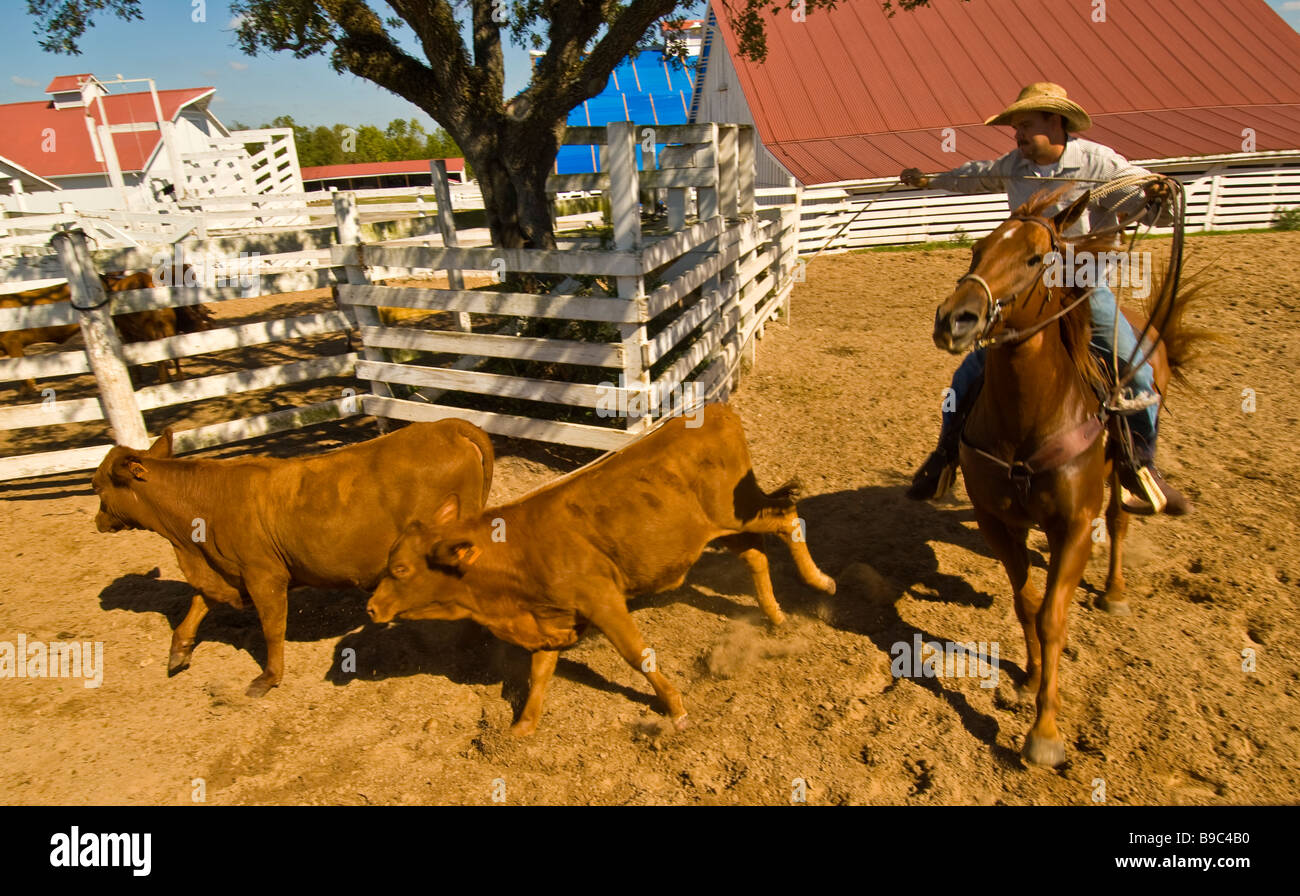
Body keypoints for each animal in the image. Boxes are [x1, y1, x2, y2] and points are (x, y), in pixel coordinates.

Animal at [92, 419, 495, 697]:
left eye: (97, 487)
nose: (97, 521)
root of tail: (446, 427)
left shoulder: (263, 576)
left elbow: (272, 628)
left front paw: (268, 678)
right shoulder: (223, 571)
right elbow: (197, 605)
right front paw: (178, 653)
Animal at [366, 403, 838, 735]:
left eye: (401, 569)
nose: (371, 608)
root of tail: (712, 410)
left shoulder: (603, 601)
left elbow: (637, 656)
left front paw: (676, 708)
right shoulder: (551, 619)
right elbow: (540, 674)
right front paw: (522, 728)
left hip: (739, 513)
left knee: (789, 519)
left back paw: (822, 582)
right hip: (719, 528)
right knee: (756, 555)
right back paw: (776, 617)